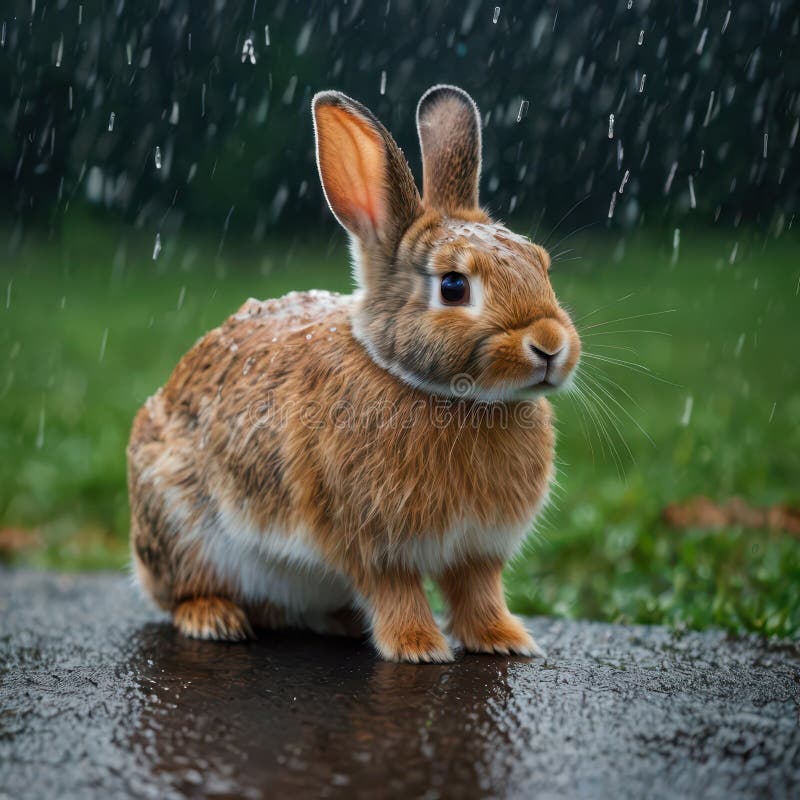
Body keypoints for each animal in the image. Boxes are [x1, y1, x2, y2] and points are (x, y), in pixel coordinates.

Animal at [127, 84, 581, 662]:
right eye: (453, 286)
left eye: (541, 265)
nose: (550, 345)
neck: (442, 393)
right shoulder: (374, 543)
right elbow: (397, 592)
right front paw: (418, 647)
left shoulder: (478, 550)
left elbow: (479, 593)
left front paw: (505, 640)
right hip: (182, 525)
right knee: (186, 592)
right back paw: (215, 618)